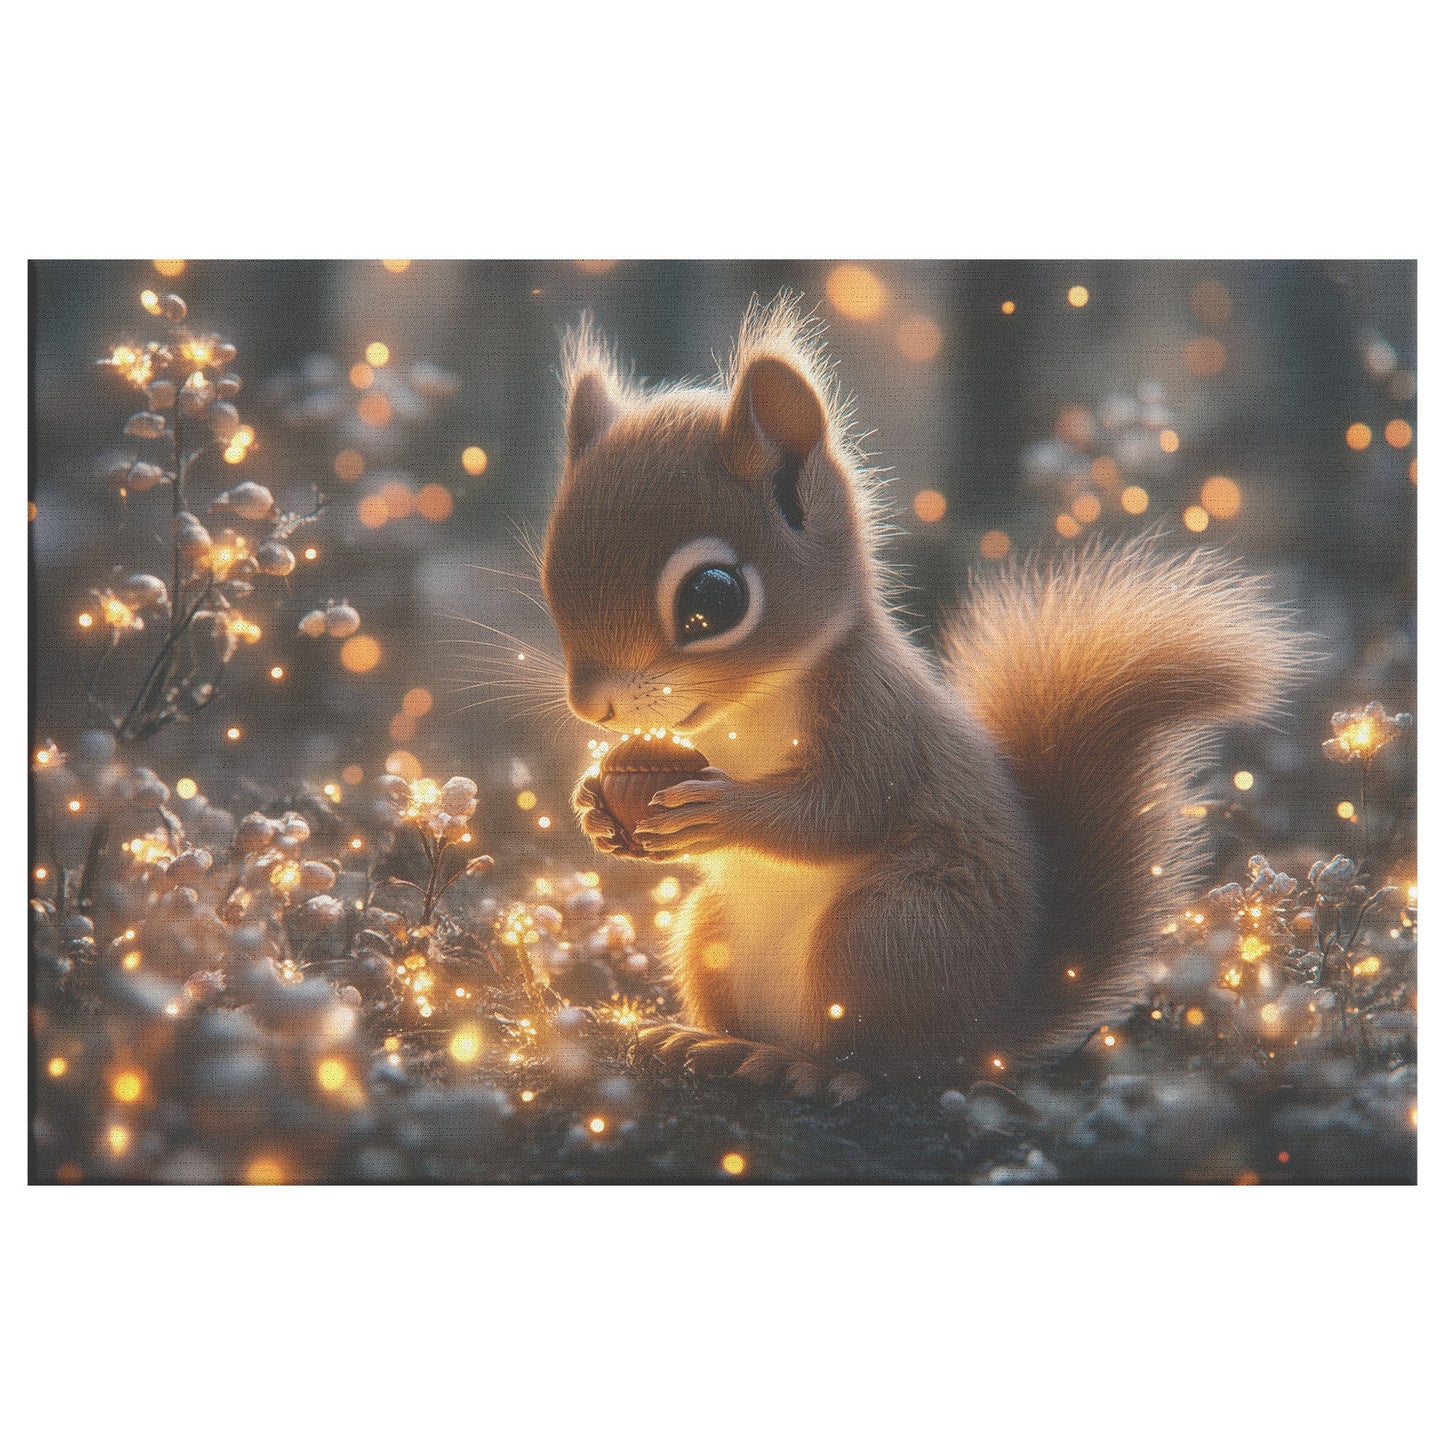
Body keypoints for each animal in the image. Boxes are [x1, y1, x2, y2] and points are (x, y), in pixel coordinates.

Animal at [541, 296, 1303, 1098]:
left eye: (711, 599)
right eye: (548, 568)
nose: (592, 707)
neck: (744, 713)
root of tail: (983, 1032)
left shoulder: (877, 720)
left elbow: (845, 808)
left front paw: (724, 811)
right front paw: (593, 807)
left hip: (892, 931)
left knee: (887, 1063)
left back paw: (804, 1066)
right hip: (710, 930)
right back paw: (707, 1039)